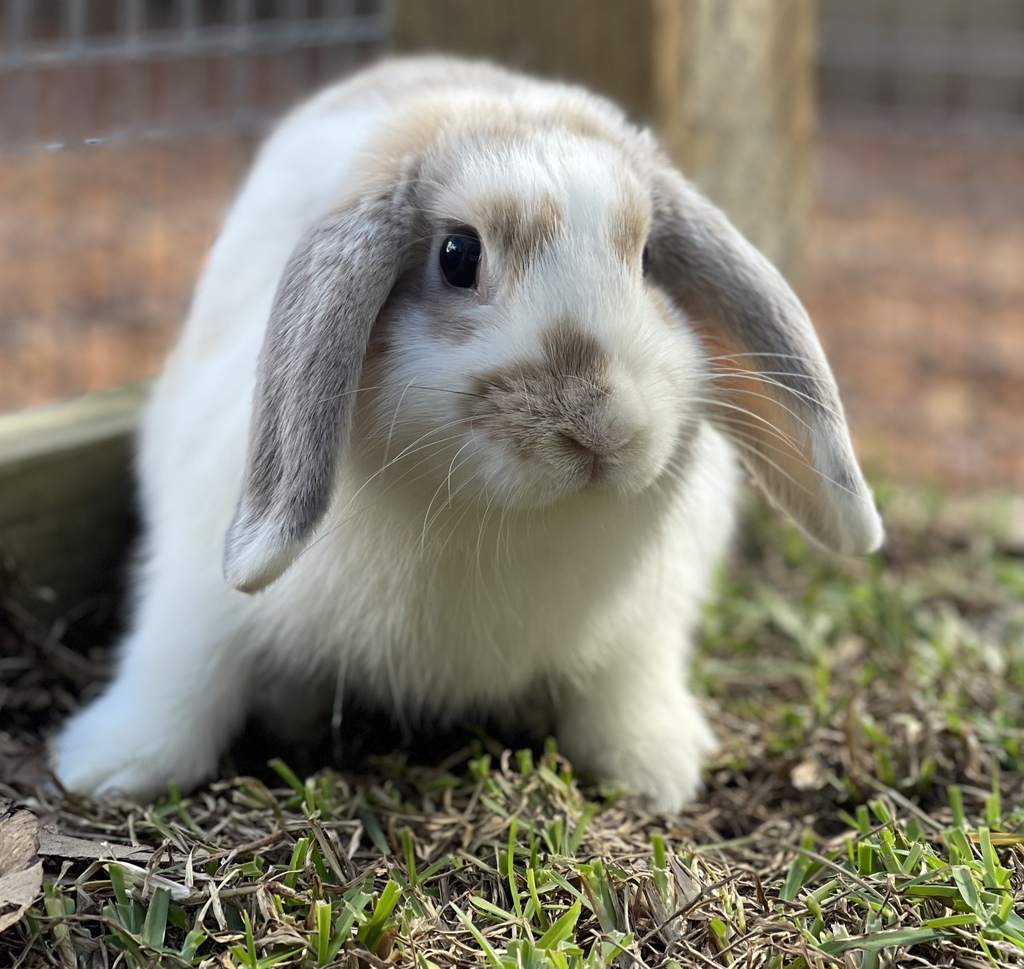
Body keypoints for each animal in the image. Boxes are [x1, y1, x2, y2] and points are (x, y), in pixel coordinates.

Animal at [52, 56, 882, 812]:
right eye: (458, 254)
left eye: (649, 259)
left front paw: (655, 765)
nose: (602, 426)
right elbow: (184, 664)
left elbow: (625, 681)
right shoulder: (195, 578)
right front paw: (109, 766)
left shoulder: (646, 620)